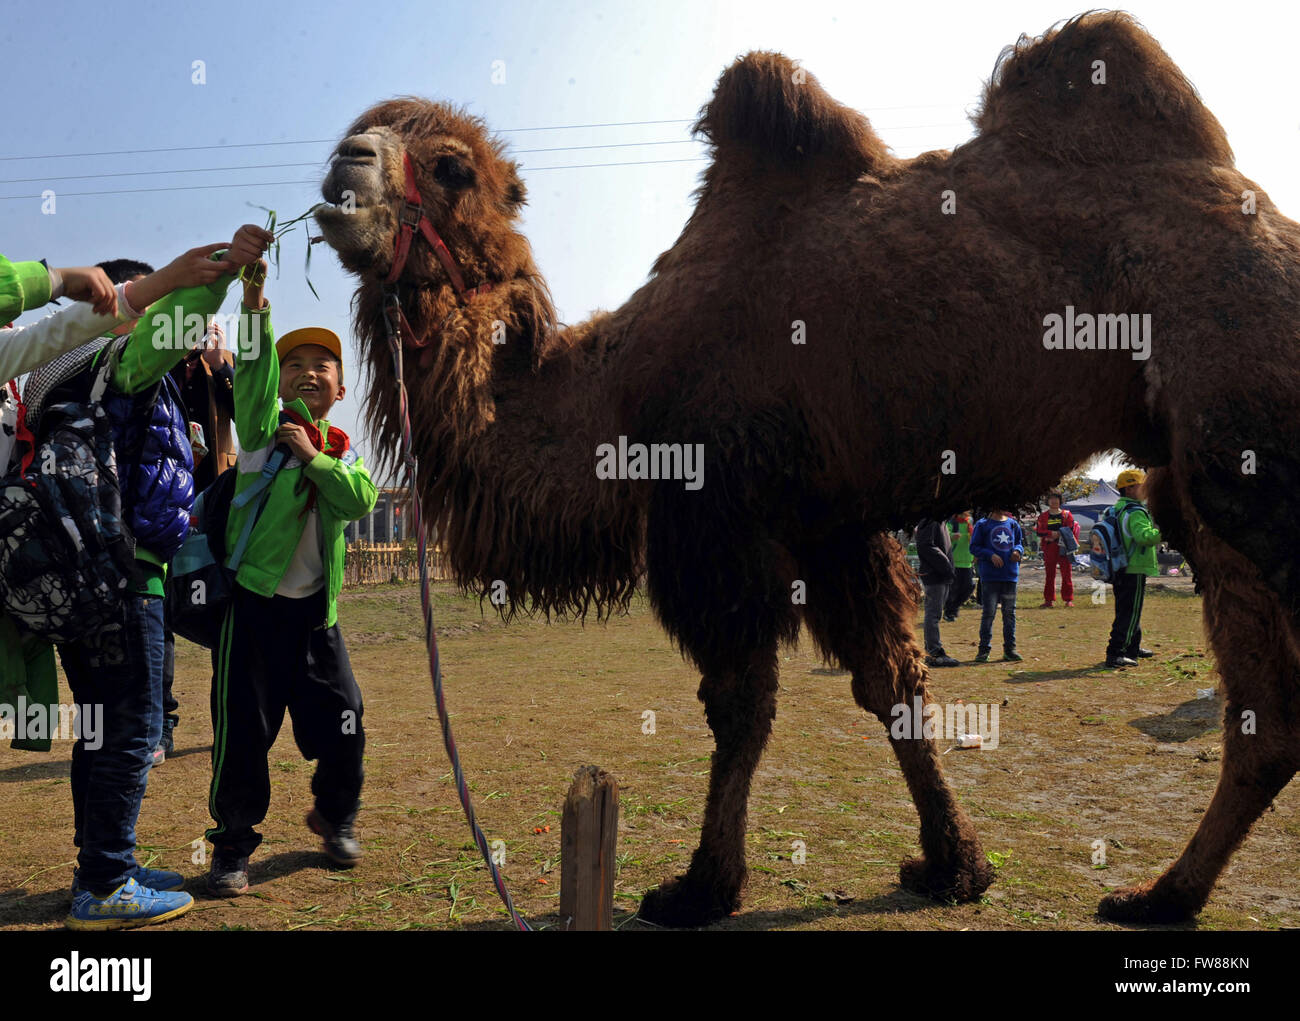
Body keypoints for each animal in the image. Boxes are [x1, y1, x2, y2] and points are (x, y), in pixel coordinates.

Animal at [314, 11, 1300, 926]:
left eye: (451, 167)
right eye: (364, 134)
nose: (341, 169)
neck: (613, 394)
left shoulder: (717, 511)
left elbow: (739, 702)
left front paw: (700, 886)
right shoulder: (827, 521)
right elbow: (890, 681)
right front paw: (953, 865)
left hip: (1244, 440)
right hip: (1194, 487)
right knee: (1264, 713)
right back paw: (1161, 894)